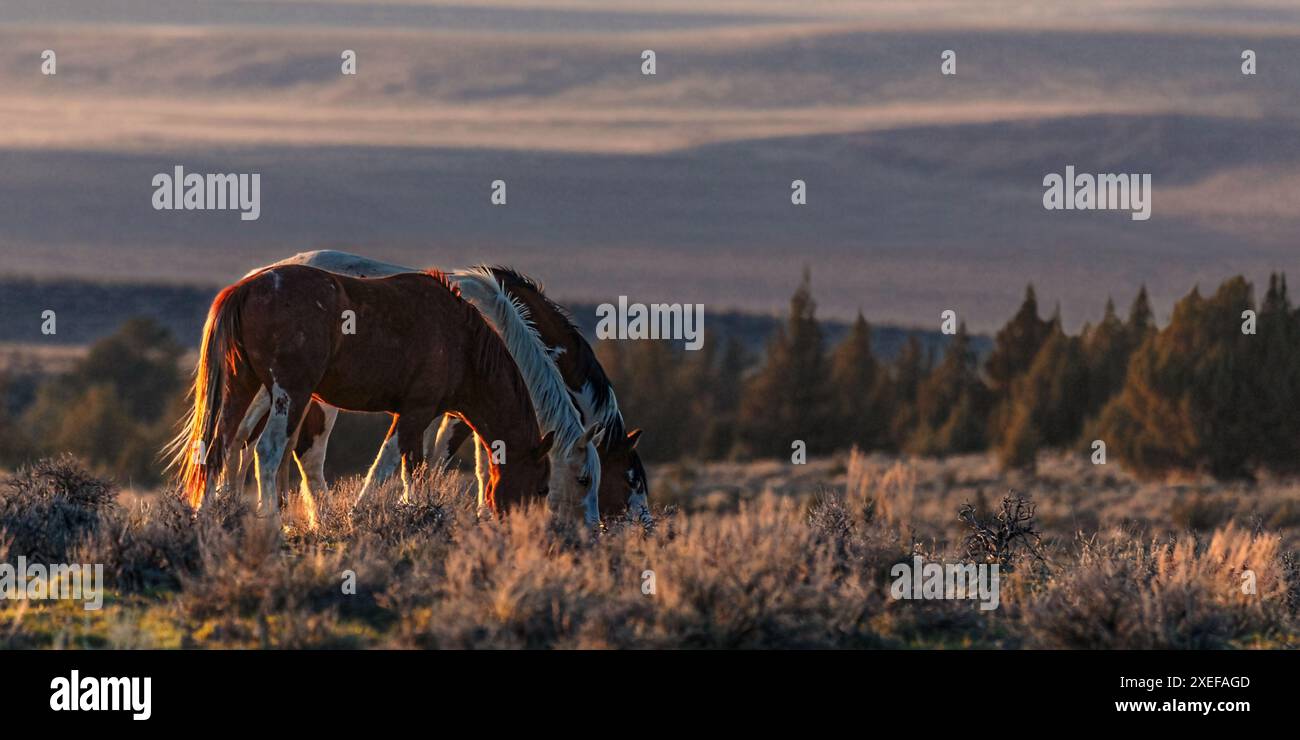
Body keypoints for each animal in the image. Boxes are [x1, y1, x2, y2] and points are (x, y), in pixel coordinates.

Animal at [169, 265, 554, 524]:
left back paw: (204, 518)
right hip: (290, 394)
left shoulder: (418, 416)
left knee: (216, 449)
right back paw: (271, 526)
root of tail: (247, 287)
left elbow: (410, 468)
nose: (529, 532)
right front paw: (367, 512)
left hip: (241, 388)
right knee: (267, 451)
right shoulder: (415, 412)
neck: (462, 342)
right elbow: (391, 463)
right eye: (542, 487)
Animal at [228, 250, 651, 524]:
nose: (640, 527)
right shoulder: (455, 410)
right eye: (588, 479)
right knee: (303, 453)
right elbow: (446, 462)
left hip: (268, 391)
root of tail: (260, 274)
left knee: (242, 440)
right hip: (311, 397)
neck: (504, 321)